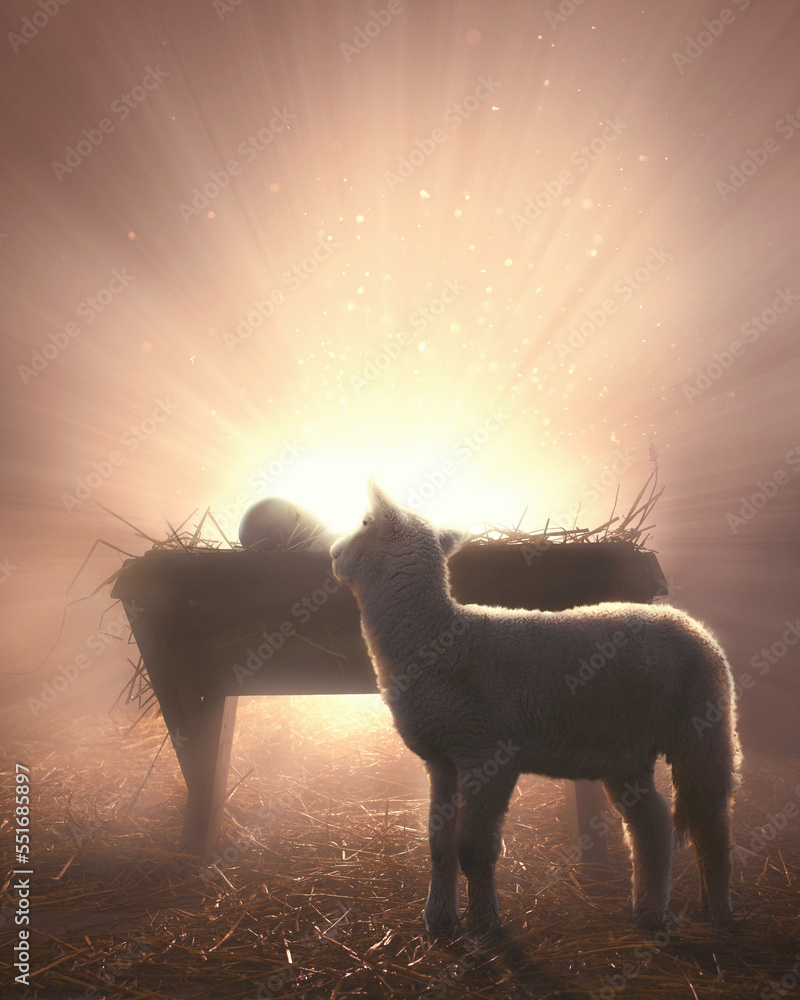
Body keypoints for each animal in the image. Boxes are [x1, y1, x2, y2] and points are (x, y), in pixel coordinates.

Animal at [330, 479, 741, 939]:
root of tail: (692, 624)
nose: (332, 554)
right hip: (625, 750)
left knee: (711, 822)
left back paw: (719, 914)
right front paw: (437, 921)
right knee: (652, 826)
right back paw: (649, 912)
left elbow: (471, 849)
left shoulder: (488, 754)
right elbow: (438, 847)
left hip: (703, 726)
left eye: (365, 522)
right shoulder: (442, 759)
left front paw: (485, 926)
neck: (438, 637)